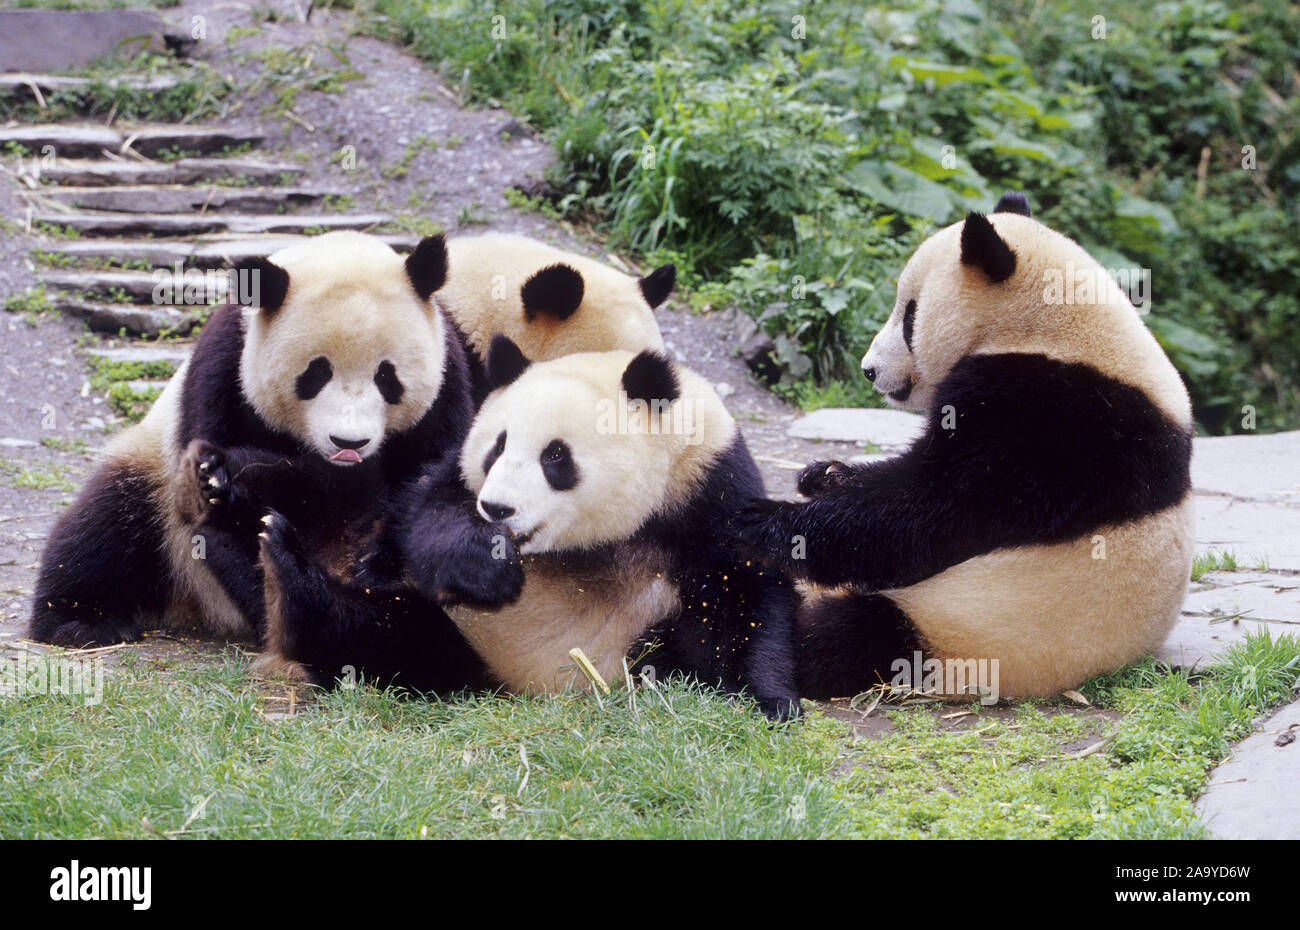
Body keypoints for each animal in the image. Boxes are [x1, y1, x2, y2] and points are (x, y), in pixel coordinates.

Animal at [29, 231, 472, 650]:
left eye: (386, 376)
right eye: (316, 374)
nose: (350, 441)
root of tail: (193, 608)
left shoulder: (447, 380)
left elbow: (431, 491)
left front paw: (374, 569)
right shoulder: (227, 369)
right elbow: (221, 516)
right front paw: (285, 594)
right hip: (155, 476)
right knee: (105, 526)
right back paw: (81, 620)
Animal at [255, 336, 802, 719]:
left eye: (555, 456)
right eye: (496, 447)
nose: (497, 509)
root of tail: (519, 684)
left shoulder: (709, 487)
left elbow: (747, 592)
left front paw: (768, 701)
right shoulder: (455, 474)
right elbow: (427, 516)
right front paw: (485, 567)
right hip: (465, 630)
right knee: (382, 633)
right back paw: (289, 577)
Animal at [738, 193, 1194, 700]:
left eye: (910, 315)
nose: (868, 370)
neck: (1053, 329)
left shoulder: (1056, 423)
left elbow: (929, 511)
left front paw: (767, 522)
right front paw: (825, 474)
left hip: (965, 628)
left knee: (852, 634)